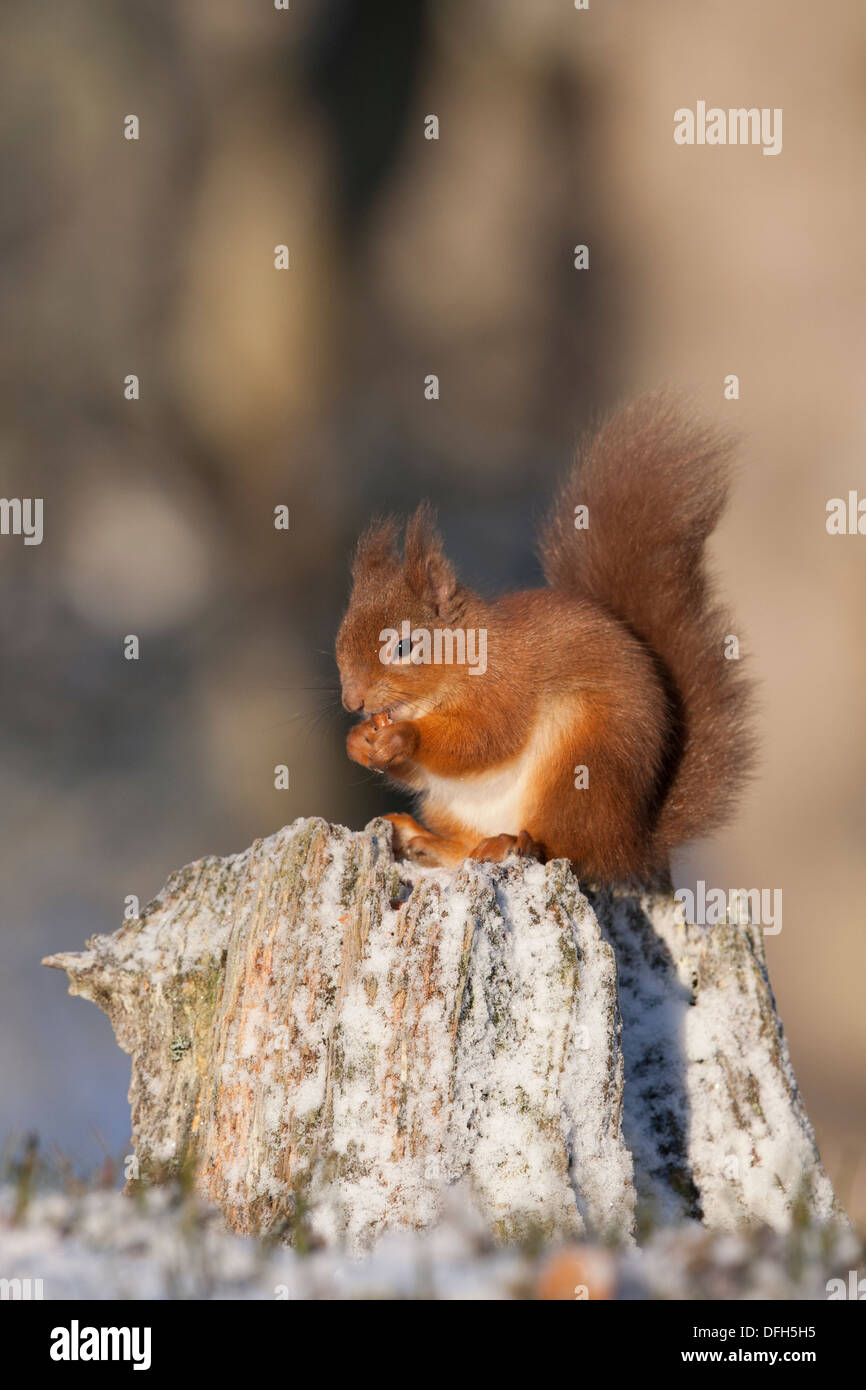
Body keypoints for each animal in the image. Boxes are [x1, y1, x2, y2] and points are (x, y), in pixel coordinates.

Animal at [336, 392, 754, 884]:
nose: (353, 702)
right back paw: (426, 840)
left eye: (402, 646)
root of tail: (631, 841)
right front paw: (358, 742)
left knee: (570, 847)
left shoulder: (506, 687)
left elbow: (485, 739)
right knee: (466, 846)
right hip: (455, 805)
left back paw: (515, 843)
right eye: (341, 640)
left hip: (582, 762)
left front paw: (404, 737)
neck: (467, 659)